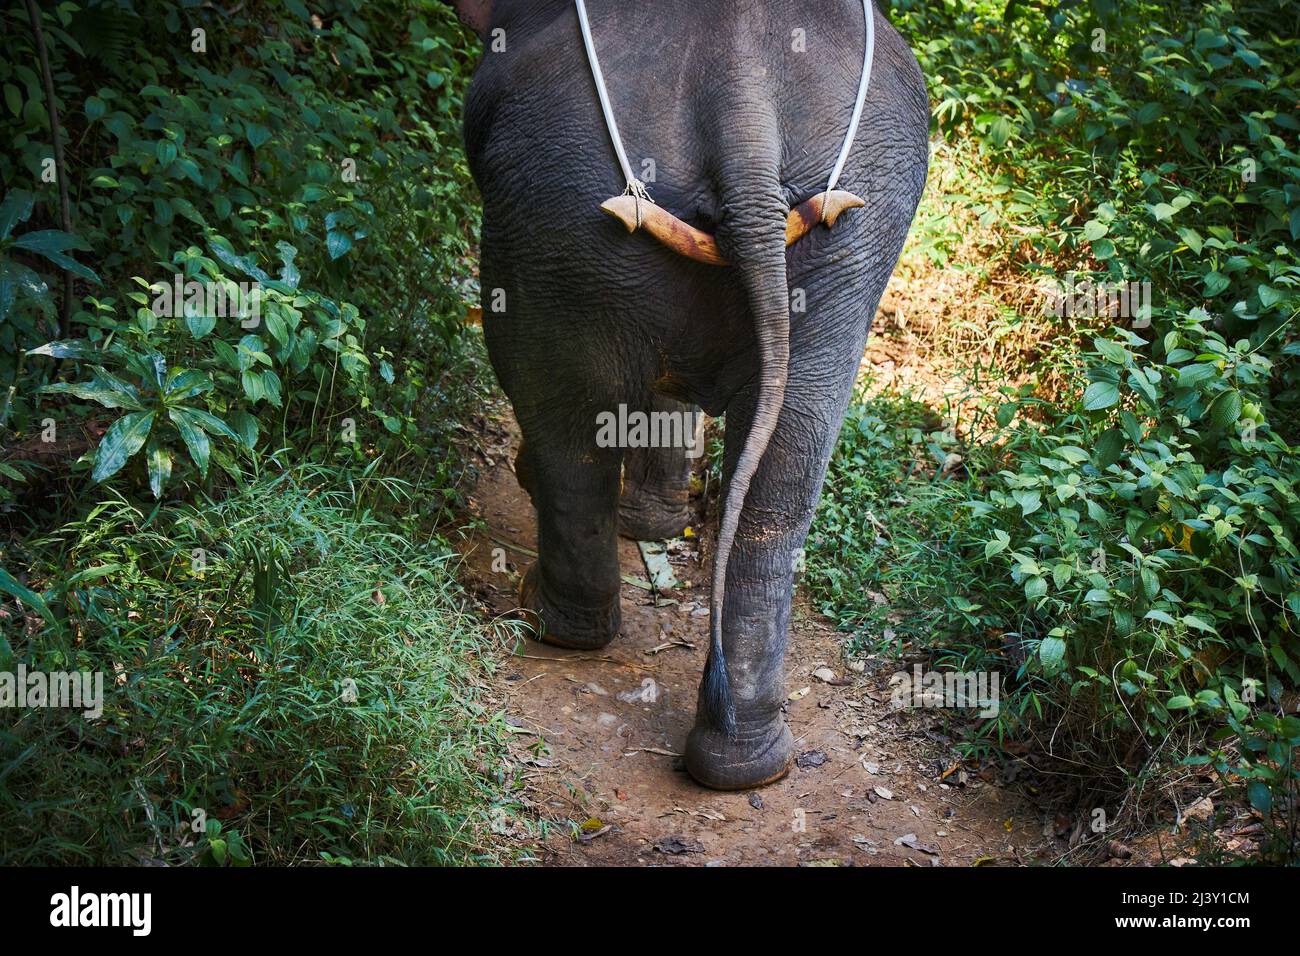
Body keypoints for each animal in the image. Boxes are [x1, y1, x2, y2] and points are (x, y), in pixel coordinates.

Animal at [456, 0, 929, 790]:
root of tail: (742, 97)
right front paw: (654, 524)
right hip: (855, 236)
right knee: (787, 470)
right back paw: (747, 766)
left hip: (555, 205)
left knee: (560, 413)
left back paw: (549, 622)